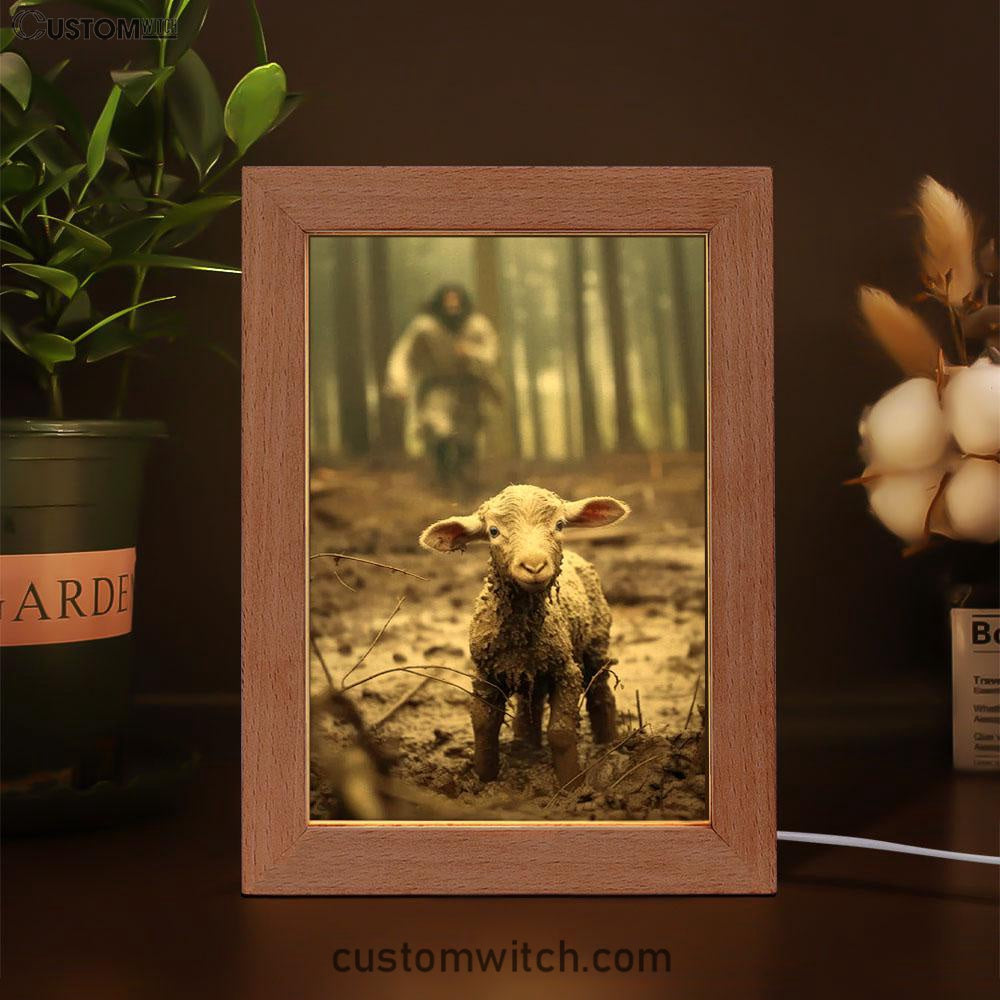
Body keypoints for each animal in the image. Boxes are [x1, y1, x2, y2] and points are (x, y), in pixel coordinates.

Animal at [419, 484, 630, 785]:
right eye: (493, 531)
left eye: (560, 525)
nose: (533, 566)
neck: (520, 633)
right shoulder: (485, 672)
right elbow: (483, 724)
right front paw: (484, 778)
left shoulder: (567, 670)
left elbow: (561, 732)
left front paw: (571, 784)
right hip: (534, 668)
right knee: (532, 702)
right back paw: (527, 744)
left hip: (595, 642)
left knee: (600, 691)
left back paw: (608, 743)